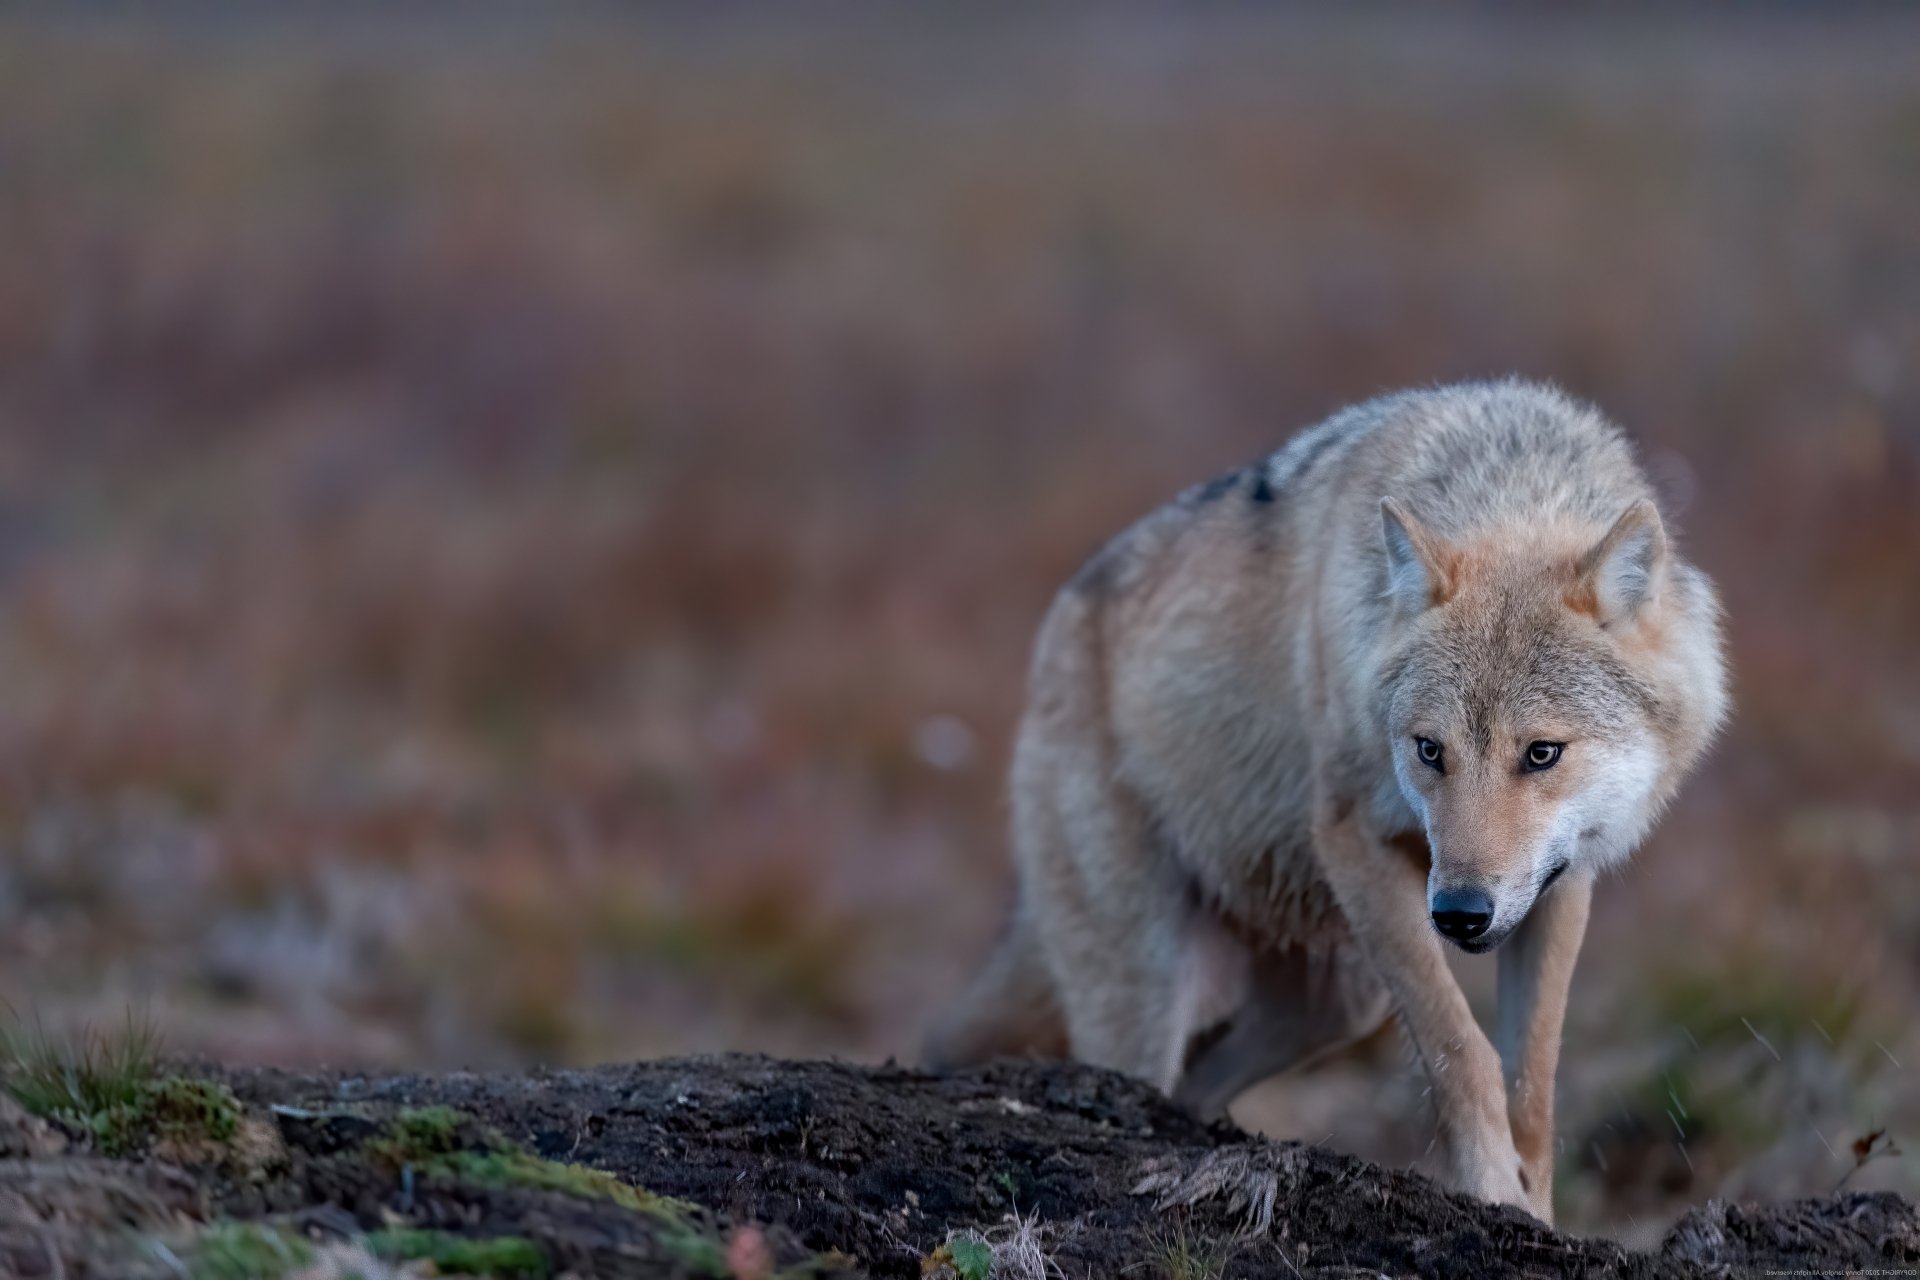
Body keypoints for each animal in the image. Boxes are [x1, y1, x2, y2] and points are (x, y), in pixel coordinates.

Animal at [924, 380, 1728, 1221]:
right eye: (1430, 751)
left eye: (1541, 754)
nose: (1461, 914)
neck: (1511, 488)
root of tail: (1057, 621)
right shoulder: (1354, 842)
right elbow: (1461, 1052)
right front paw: (1489, 1195)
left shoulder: (1562, 885)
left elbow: (1531, 1089)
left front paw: (1534, 1215)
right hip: (1154, 984)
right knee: (1141, 1071)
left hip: (1340, 997)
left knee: (1203, 1082)